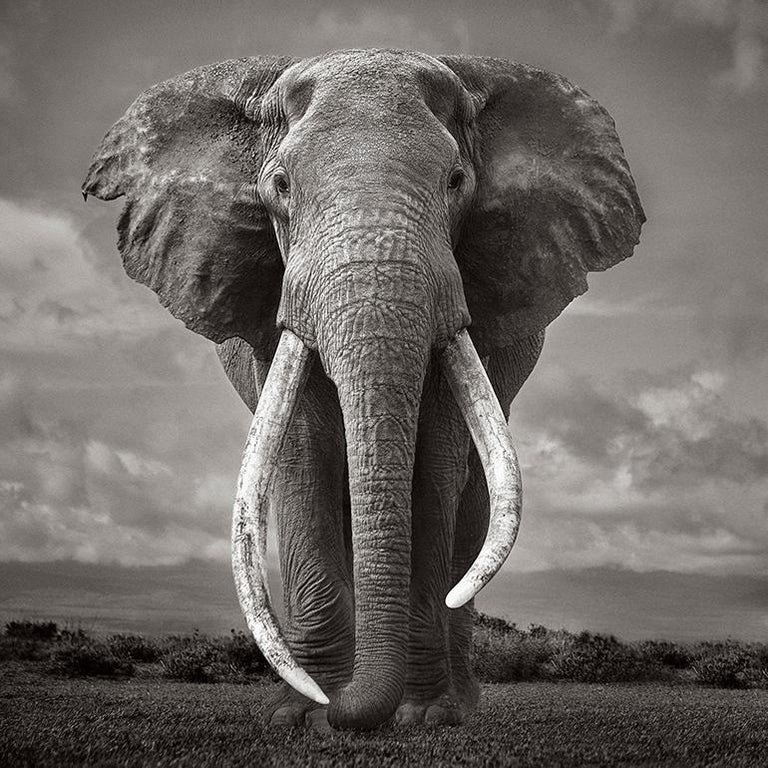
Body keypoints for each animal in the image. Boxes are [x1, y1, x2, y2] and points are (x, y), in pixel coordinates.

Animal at [83, 49, 644, 730]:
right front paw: (301, 715)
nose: (343, 712)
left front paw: (422, 716)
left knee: (473, 502)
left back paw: (458, 704)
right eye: (280, 186)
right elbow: (302, 457)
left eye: (456, 181)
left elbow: (434, 464)